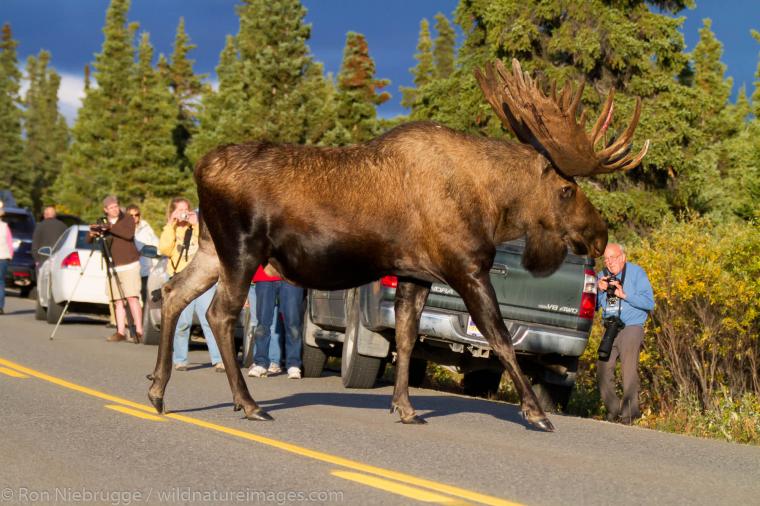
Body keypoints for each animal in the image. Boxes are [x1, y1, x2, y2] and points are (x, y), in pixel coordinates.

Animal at [147, 59, 648, 431]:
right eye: (566, 190)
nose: (599, 236)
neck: (492, 206)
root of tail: (201, 169)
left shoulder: (415, 273)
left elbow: (407, 339)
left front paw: (404, 407)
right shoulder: (466, 267)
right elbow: (500, 337)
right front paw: (536, 412)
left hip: (212, 249)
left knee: (171, 292)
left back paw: (157, 390)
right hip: (243, 249)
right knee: (218, 313)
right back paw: (247, 404)